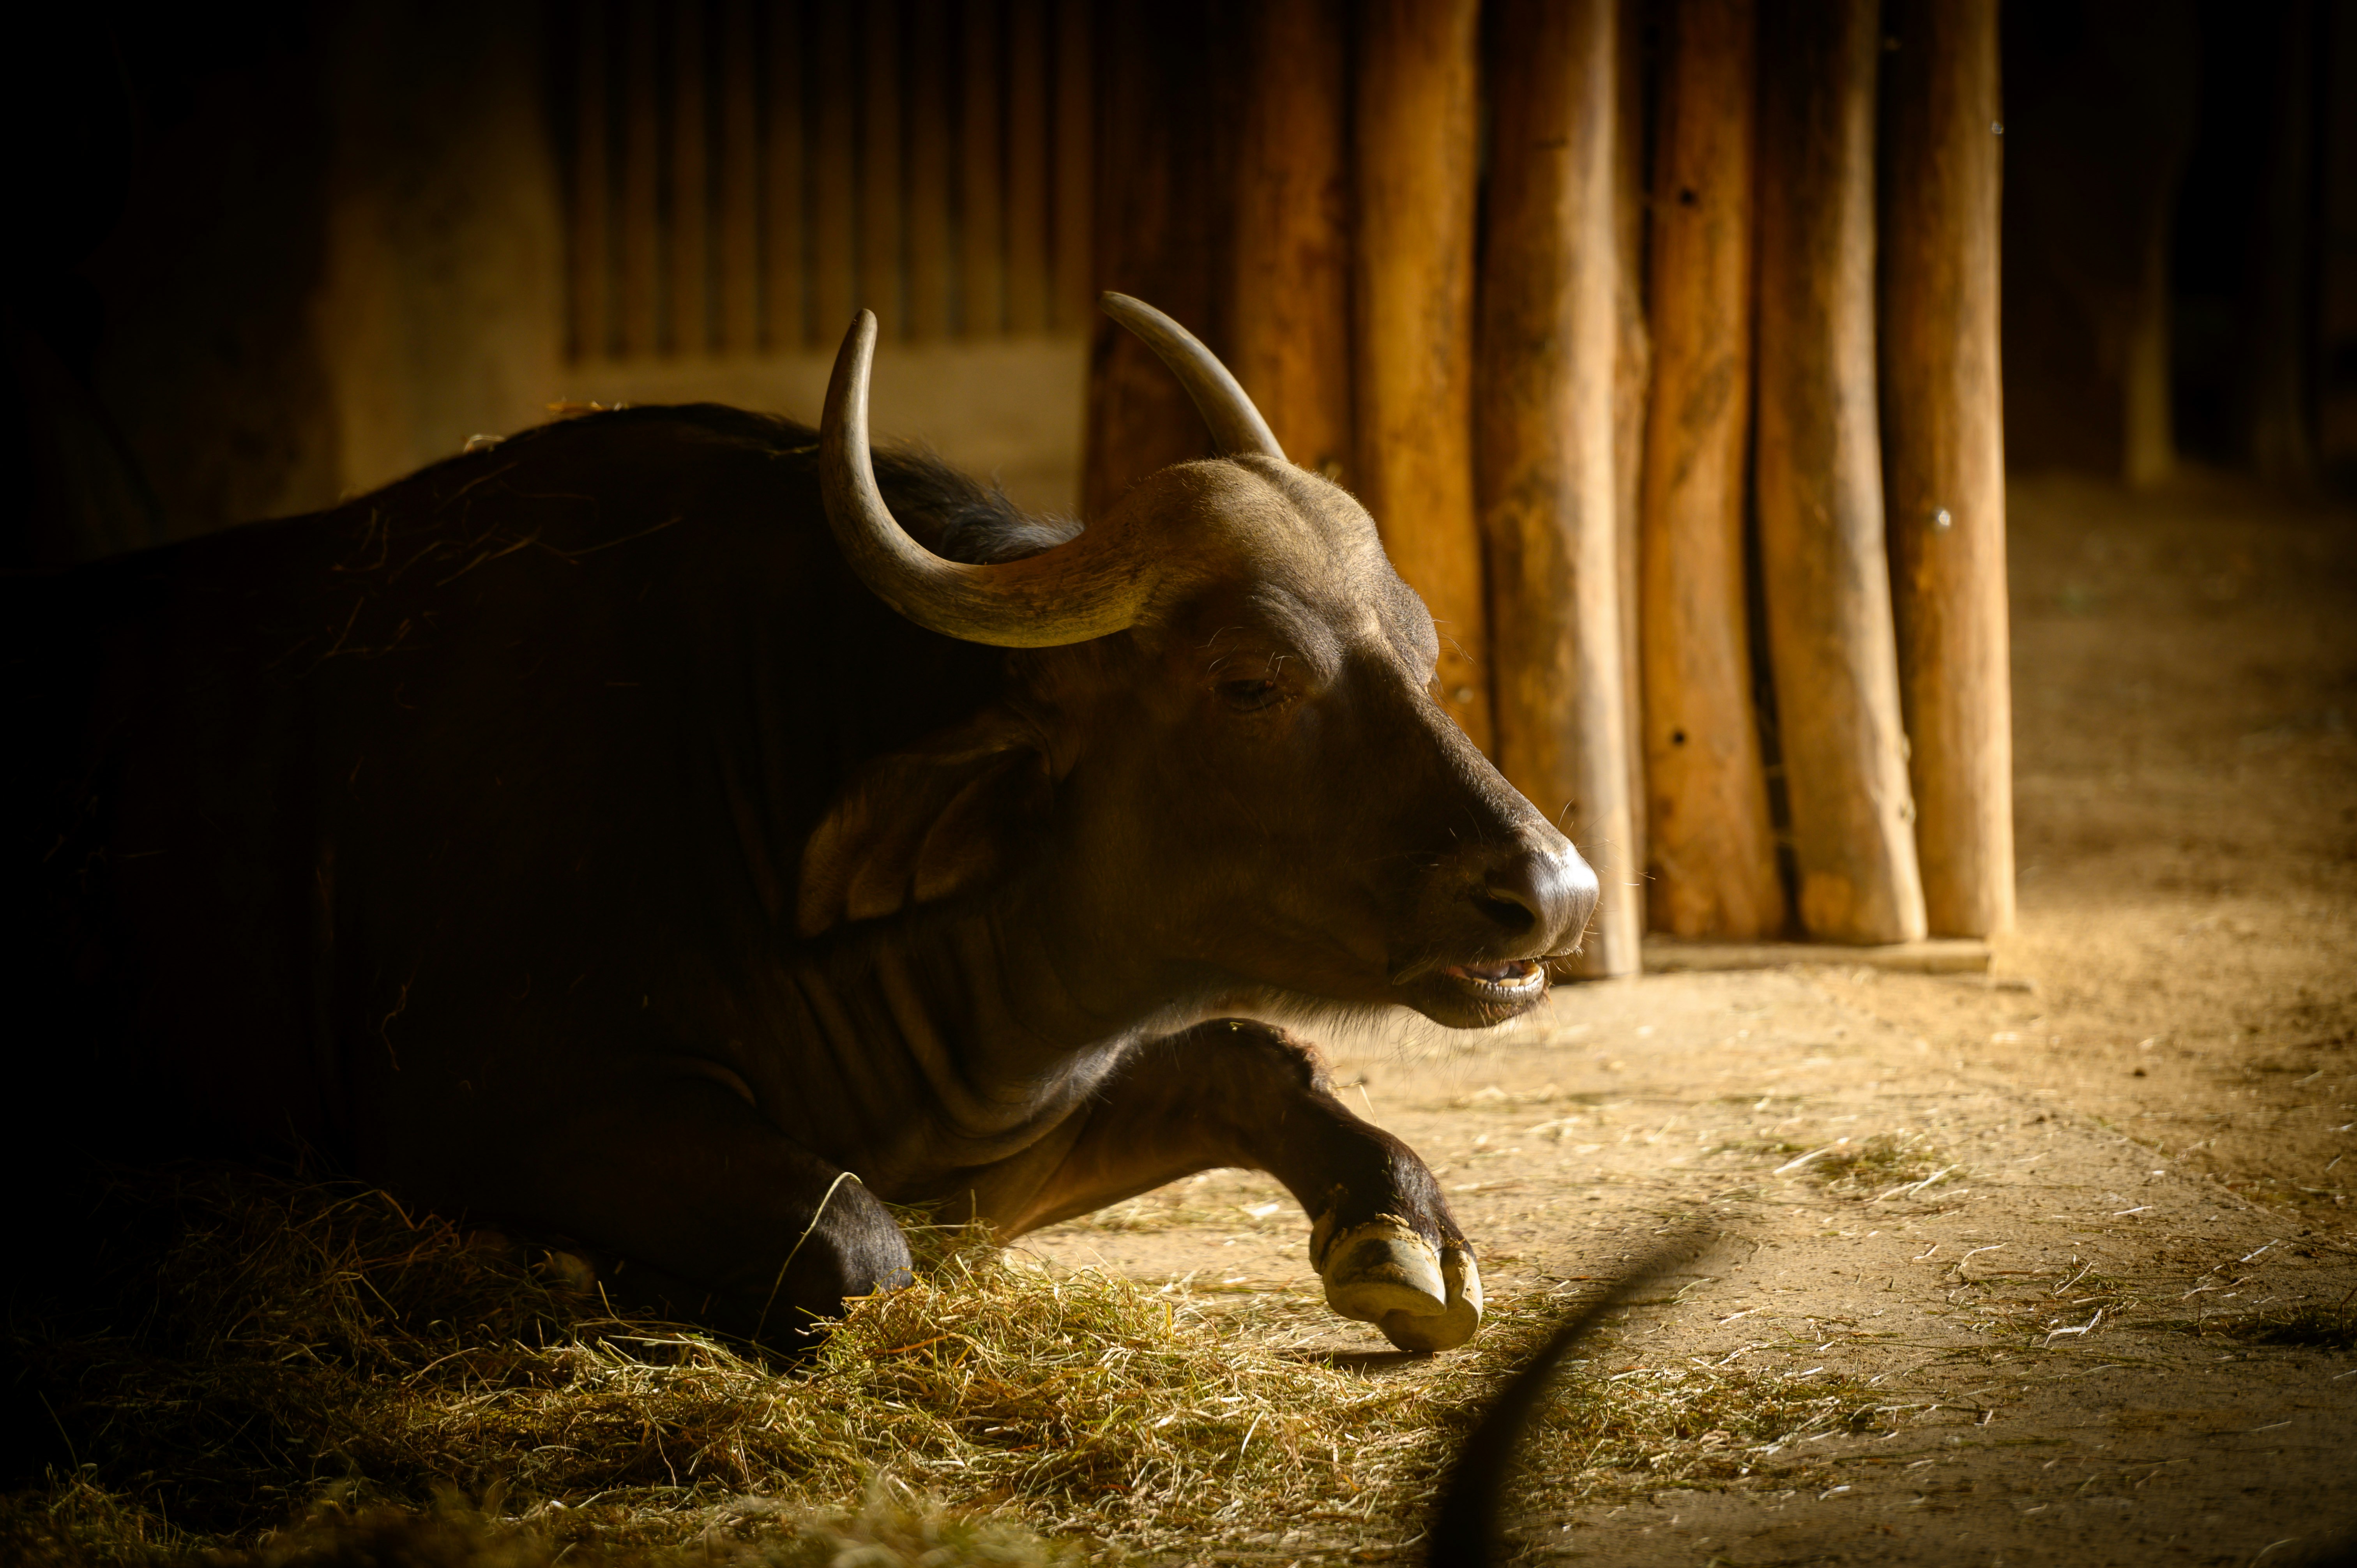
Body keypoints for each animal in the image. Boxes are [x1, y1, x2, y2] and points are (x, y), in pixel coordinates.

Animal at [3, 296, 1596, 1353]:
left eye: (1420, 647)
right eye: (1251, 677)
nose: (1556, 891)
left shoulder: (996, 1150)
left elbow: (1251, 1057)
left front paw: (1403, 1229)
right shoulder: (491, 1105)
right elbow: (850, 1238)